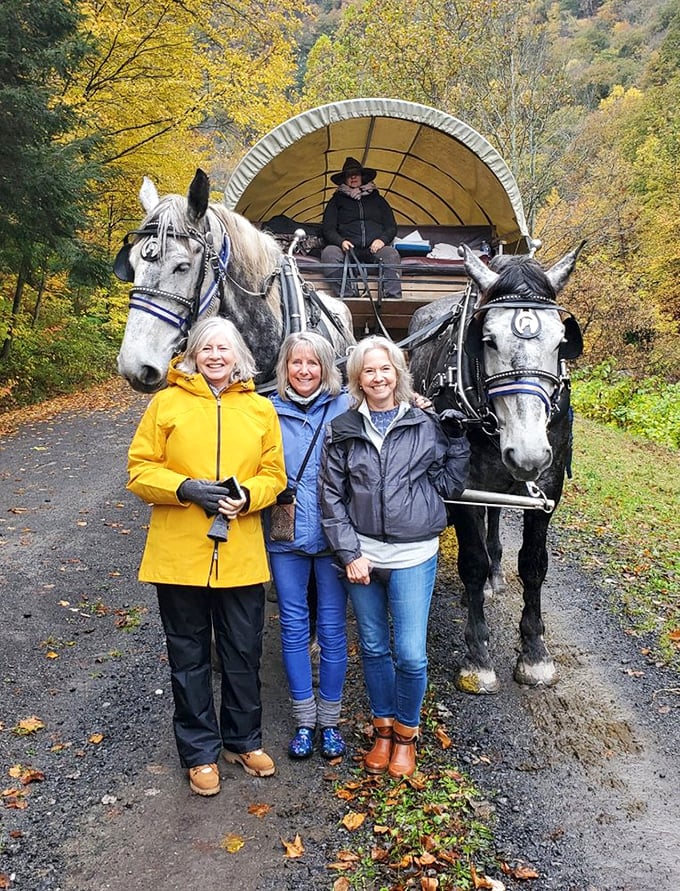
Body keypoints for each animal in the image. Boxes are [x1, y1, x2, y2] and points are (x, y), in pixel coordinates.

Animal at [408, 244, 584, 693]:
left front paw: (535, 653)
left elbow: (534, 565)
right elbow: (471, 562)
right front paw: (478, 657)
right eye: (486, 340)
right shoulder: (464, 487)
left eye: (561, 341)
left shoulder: (547, 489)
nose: (528, 453)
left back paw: (495, 574)